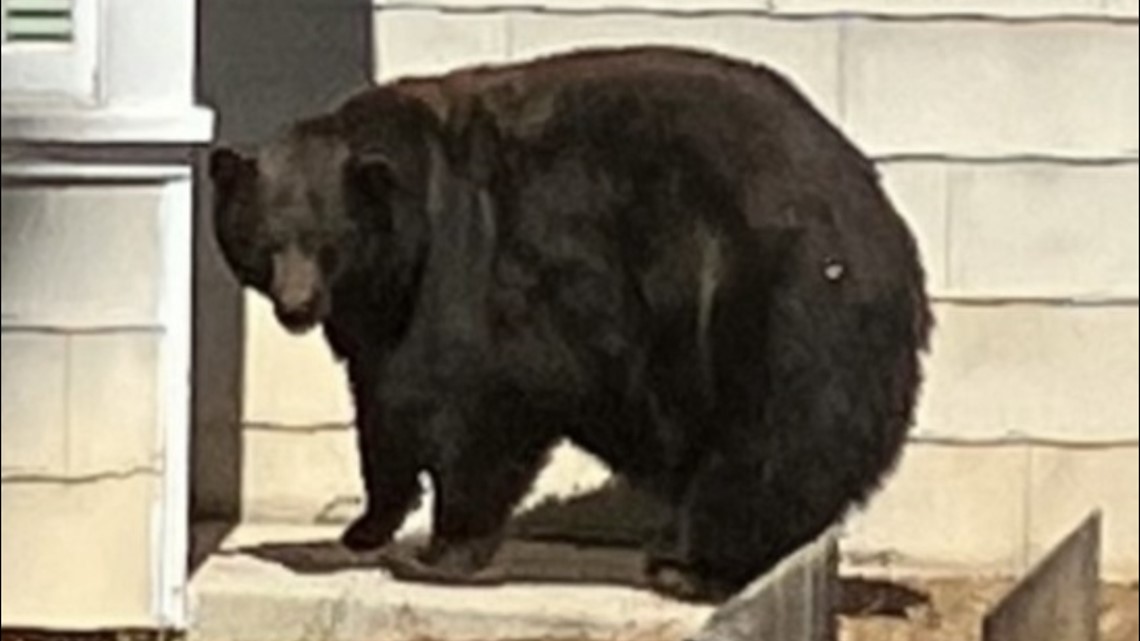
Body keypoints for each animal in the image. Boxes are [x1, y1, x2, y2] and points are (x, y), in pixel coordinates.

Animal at [209, 46, 933, 602]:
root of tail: (885, 225)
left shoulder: (481, 269)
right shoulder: (380, 317)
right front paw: (365, 526)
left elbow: (481, 403)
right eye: (265, 241)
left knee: (771, 437)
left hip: (771, 300)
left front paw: (439, 551)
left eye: (329, 241)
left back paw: (691, 565)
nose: (297, 307)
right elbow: (384, 407)